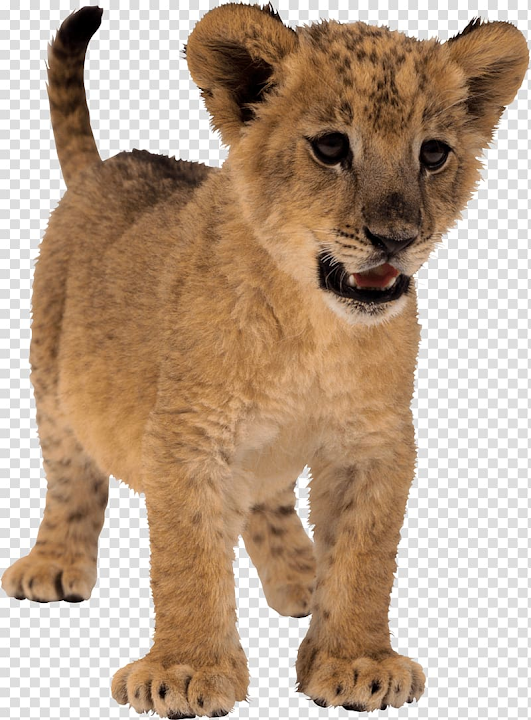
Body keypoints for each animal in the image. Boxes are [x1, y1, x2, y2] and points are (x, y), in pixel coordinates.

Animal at [2, 3, 528, 717]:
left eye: (433, 153)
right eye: (331, 148)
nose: (396, 238)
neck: (314, 327)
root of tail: (107, 166)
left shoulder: (376, 440)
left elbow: (364, 557)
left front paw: (356, 662)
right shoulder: (186, 435)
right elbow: (187, 559)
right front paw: (186, 671)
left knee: (268, 500)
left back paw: (302, 579)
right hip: (50, 373)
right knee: (70, 474)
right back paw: (53, 563)